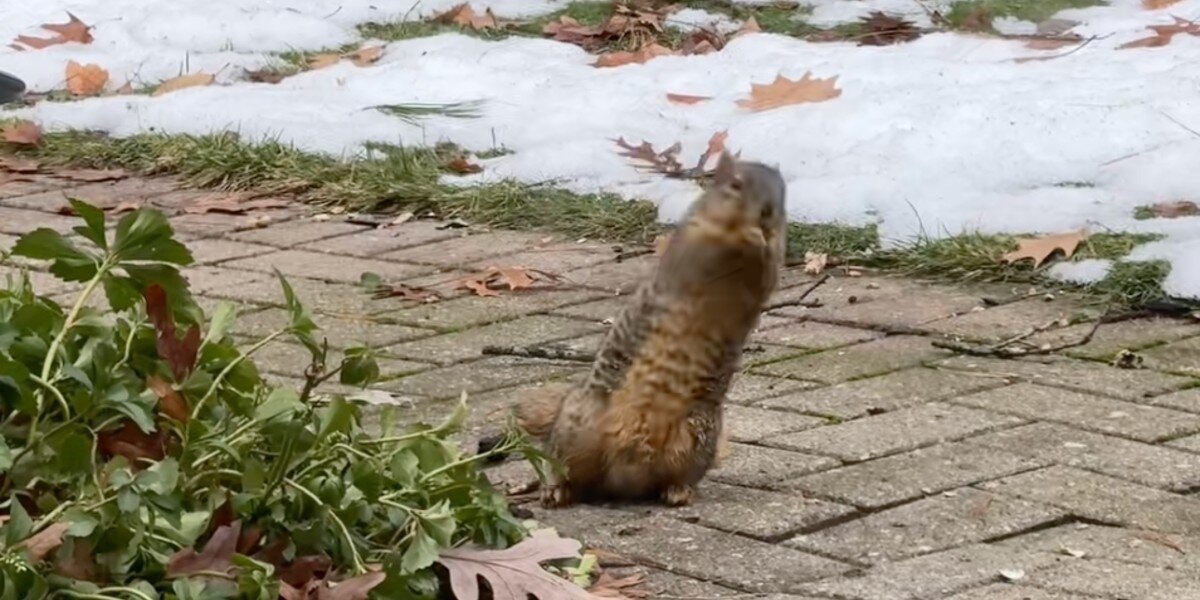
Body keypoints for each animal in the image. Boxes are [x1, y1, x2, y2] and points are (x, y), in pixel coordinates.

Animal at [515, 152, 787, 508]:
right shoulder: (694, 248)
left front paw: (765, 240)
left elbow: (768, 270)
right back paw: (557, 490)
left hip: (696, 438)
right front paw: (752, 236)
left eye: (783, 190)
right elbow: (713, 252)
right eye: (735, 184)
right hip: (577, 429)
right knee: (566, 468)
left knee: (671, 477)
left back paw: (677, 491)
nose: (767, 213)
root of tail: (623, 479)